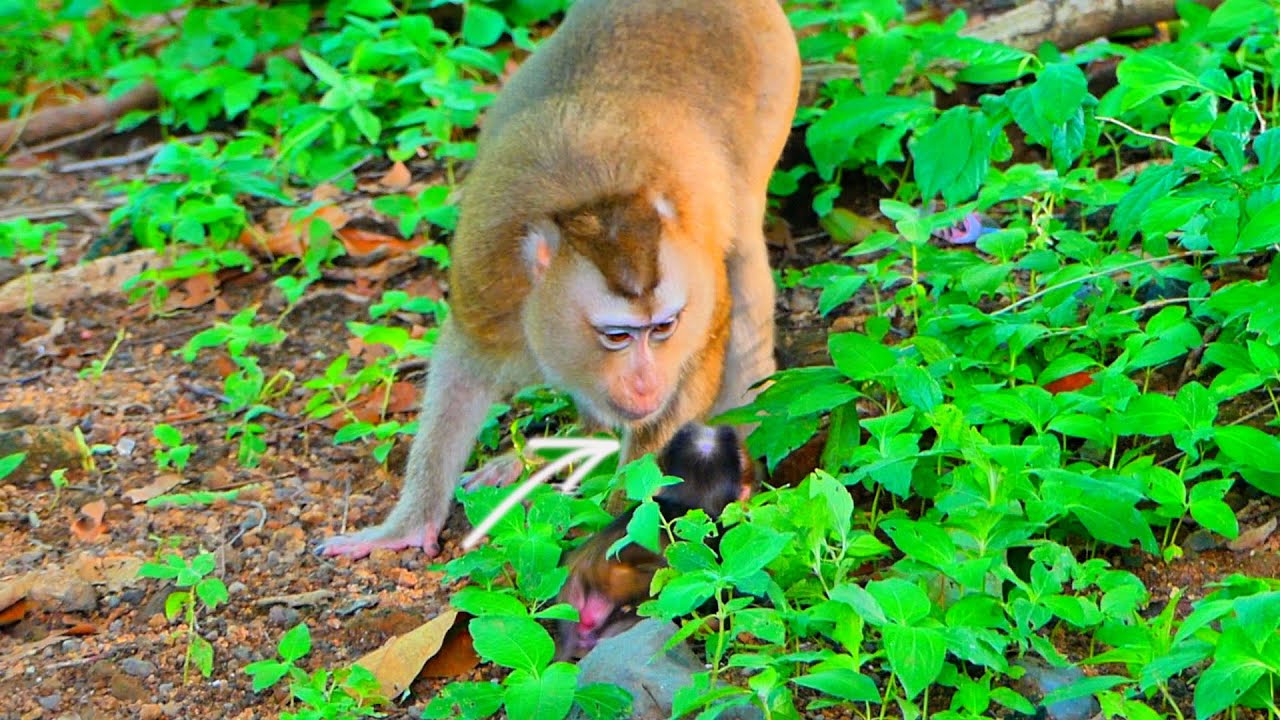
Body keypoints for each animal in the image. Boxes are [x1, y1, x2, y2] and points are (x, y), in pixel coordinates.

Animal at [318, 0, 801, 559]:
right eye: (616, 336)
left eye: (663, 329)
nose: (645, 382)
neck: (594, 198)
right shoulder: (487, 276)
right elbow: (463, 367)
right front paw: (409, 524)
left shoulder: (697, 289)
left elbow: (690, 378)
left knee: (744, 257)